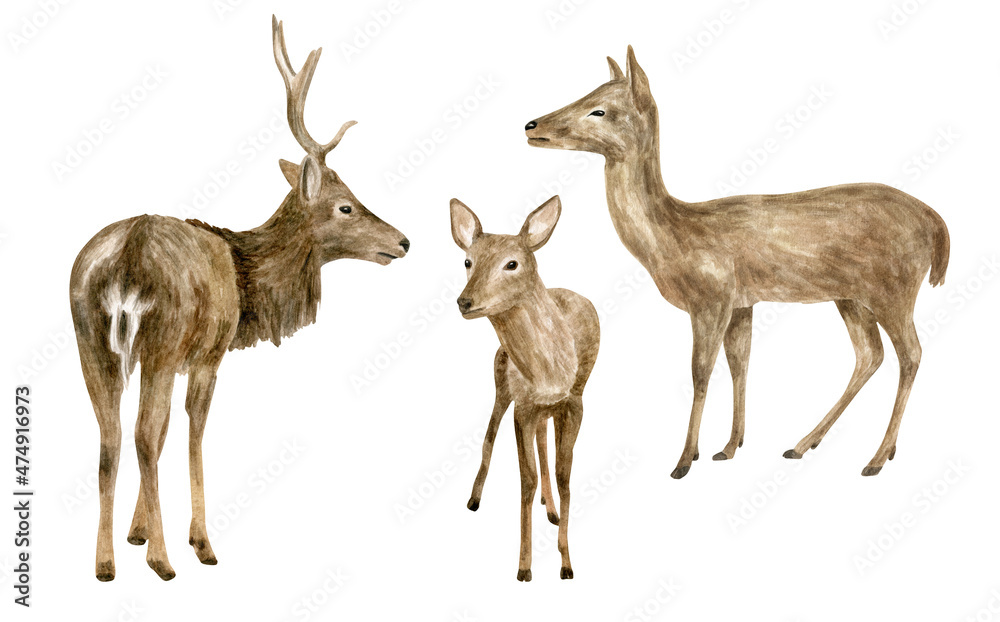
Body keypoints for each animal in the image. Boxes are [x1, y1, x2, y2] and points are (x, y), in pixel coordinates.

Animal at [69, 16, 409, 582]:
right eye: (346, 206)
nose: (403, 241)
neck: (246, 279)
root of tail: (129, 256)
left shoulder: (163, 358)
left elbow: (160, 434)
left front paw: (137, 532)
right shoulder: (207, 353)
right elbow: (189, 432)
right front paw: (195, 542)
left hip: (89, 338)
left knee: (110, 435)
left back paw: (104, 562)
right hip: (160, 338)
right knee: (141, 434)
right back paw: (164, 561)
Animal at [450, 195, 600, 582]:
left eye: (511, 263)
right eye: (467, 260)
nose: (464, 301)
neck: (550, 372)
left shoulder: (575, 402)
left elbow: (565, 476)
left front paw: (566, 564)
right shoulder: (523, 406)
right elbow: (526, 480)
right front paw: (524, 567)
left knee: (543, 441)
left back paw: (552, 511)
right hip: (501, 385)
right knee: (491, 435)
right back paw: (474, 500)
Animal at [524, 46, 949, 480]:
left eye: (600, 109)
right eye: (587, 92)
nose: (531, 124)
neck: (672, 239)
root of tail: (937, 223)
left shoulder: (711, 297)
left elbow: (699, 372)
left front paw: (684, 460)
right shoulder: (742, 302)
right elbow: (738, 364)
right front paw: (728, 447)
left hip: (894, 288)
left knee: (911, 354)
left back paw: (876, 458)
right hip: (850, 296)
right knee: (869, 355)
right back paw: (805, 445)